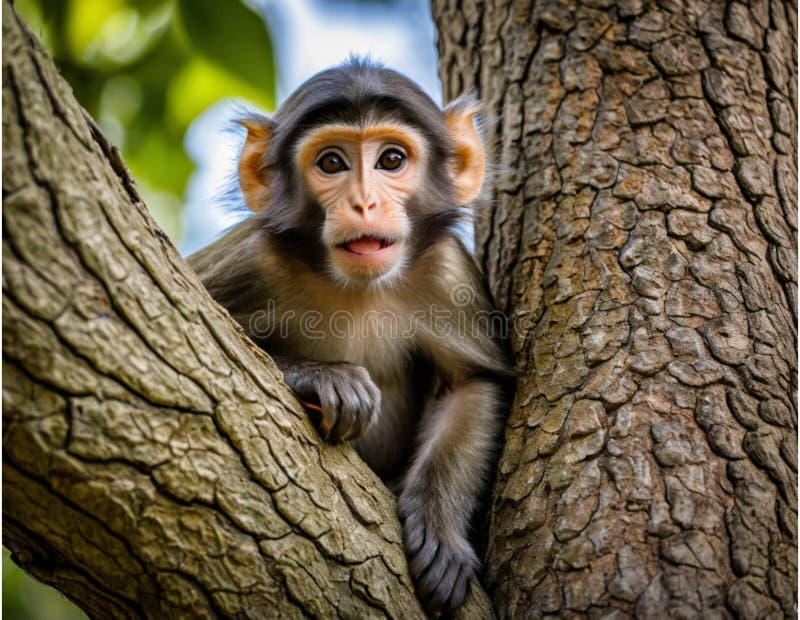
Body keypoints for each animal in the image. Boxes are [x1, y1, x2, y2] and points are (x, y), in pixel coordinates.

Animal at [189, 58, 513, 614]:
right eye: (333, 162)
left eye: (391, 159)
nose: (363, 202)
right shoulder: (251, 260)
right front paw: (326, 378)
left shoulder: (446, 271)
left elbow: (471, 384)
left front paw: (440, 530)